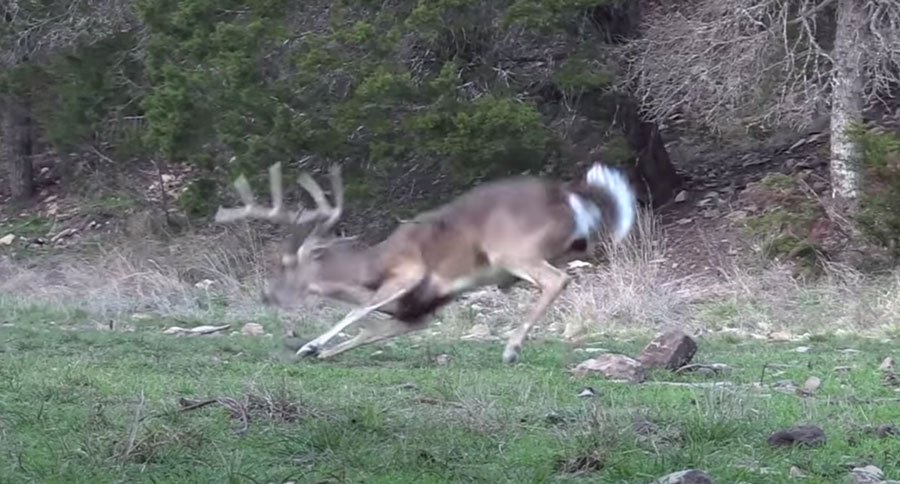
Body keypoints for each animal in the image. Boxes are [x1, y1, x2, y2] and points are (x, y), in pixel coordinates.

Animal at [214, 161, 637, 364]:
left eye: (286, 263)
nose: (267, 295)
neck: (368, 270)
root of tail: (571, 196)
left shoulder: (409, 272)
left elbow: (358, 313)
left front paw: (311, 344)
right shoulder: (420, 311)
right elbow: (371, 330)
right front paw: (316, 352)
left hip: (511, 250)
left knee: (555, 279)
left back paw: (511, 349)